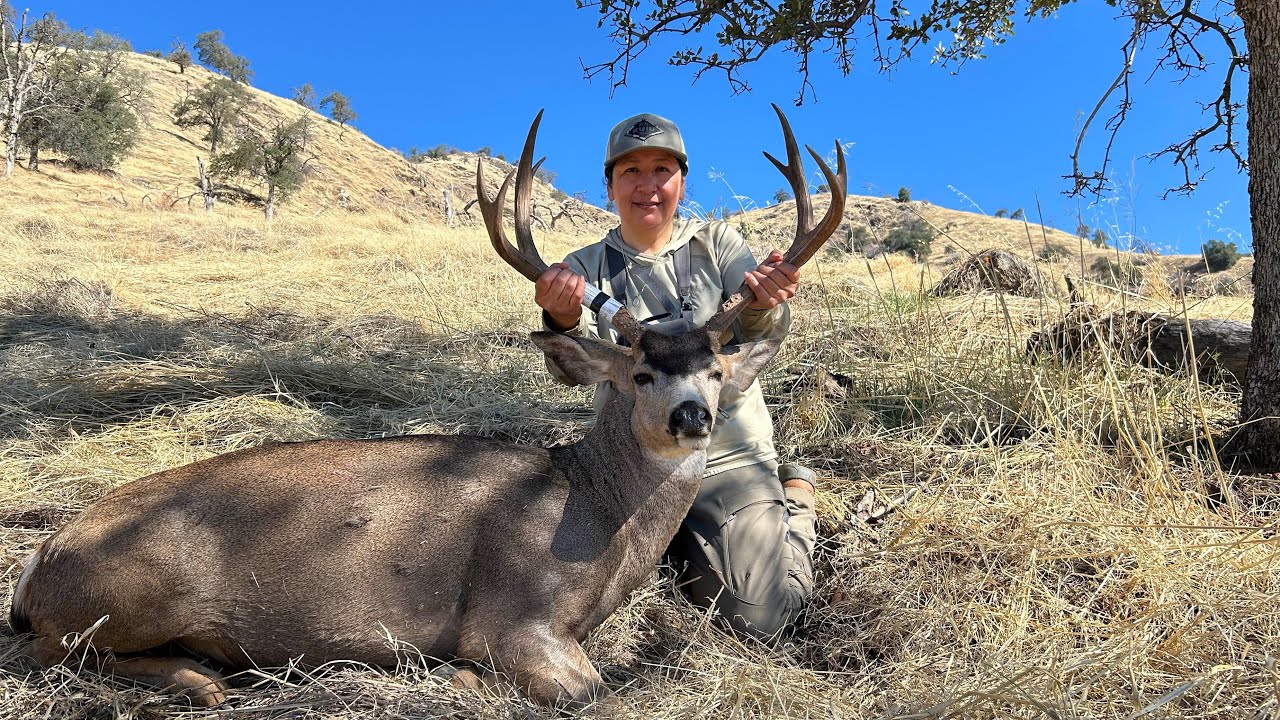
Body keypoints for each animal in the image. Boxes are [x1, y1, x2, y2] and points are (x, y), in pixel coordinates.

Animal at [8, 105, 847, 708]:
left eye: (715, 370)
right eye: (636, 375)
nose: (691, 416)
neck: (594, 518)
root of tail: (38, 558)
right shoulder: (512, 617)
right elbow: (587, 687)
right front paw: (458, 677)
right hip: (141, 586)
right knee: (45, 649)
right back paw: (202, 680)